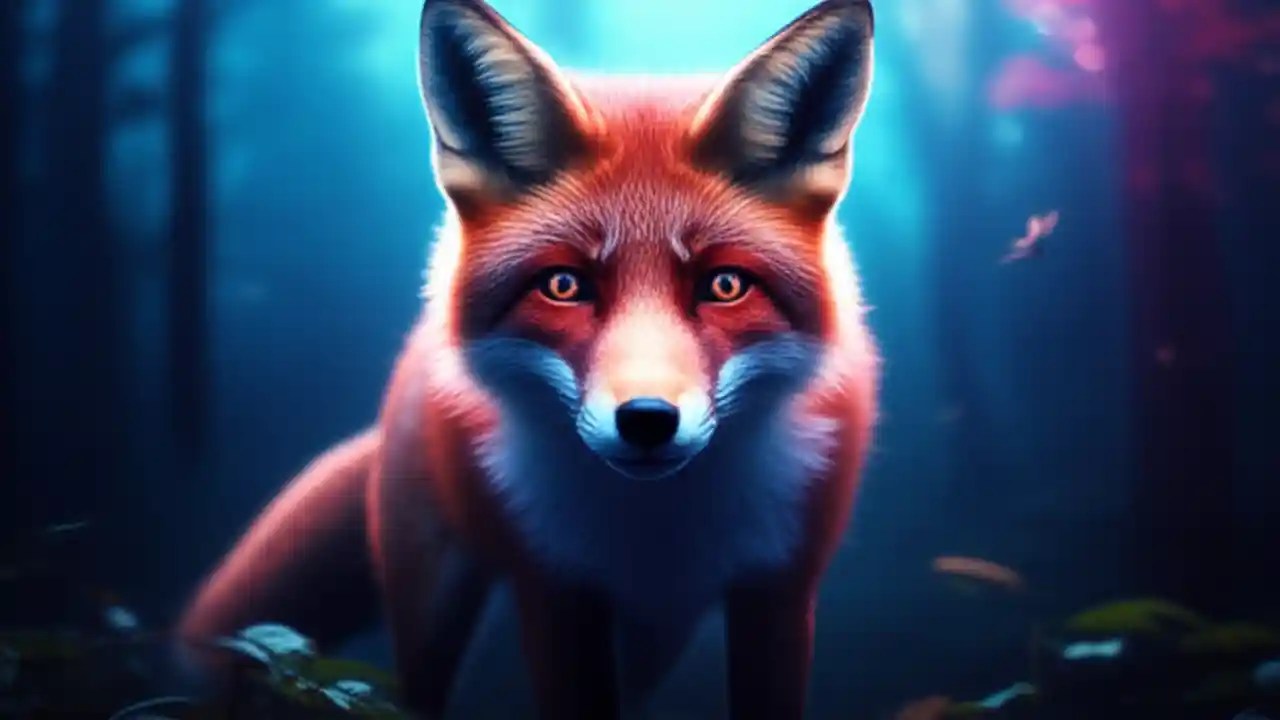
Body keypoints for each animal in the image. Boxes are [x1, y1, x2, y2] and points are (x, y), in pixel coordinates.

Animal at [178, 0, 879, 718]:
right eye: (564, 285)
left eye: (725, 285)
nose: (647, 419)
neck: (657, 531)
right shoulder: (555, 594)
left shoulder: (779, 595)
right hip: (432, 608)